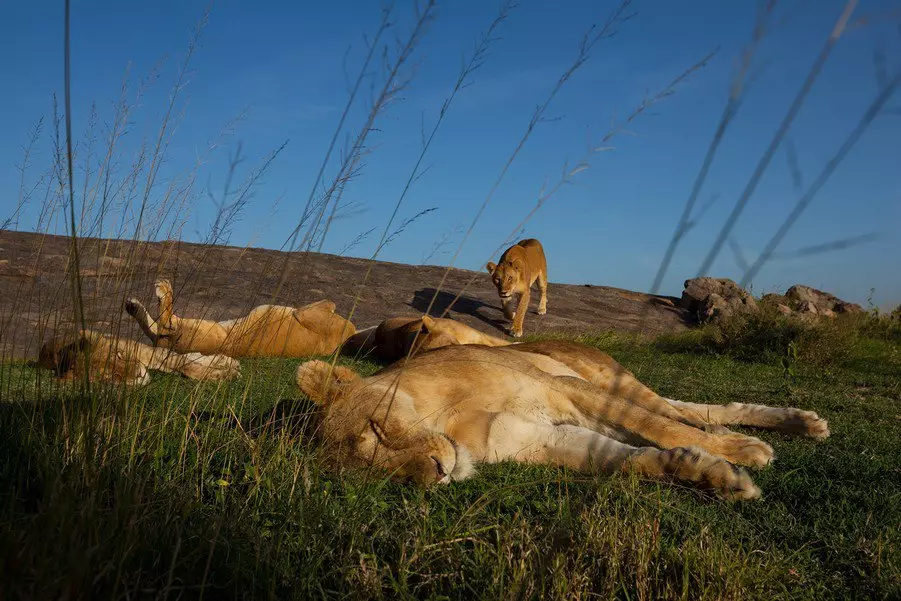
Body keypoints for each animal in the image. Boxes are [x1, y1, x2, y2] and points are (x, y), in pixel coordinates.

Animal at [125, 278, 356, 356]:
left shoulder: (310, 315)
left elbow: (329, 302)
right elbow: (330, 301)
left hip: (206, 330)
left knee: (165, 325)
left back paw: (162, 290)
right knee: (156, 329)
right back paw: (133, 306)